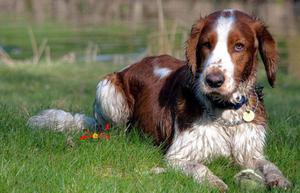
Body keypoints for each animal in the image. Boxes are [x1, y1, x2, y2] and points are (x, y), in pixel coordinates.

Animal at [28, 9, 290, 191]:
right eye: (207, 44)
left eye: (239, 46)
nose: (213, 80)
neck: (225, 112)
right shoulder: (178, 156)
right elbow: (200, 167)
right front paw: (216, 182)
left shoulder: (251, 152)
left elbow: (269, 165)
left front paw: (281, 180)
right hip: (108, 87)